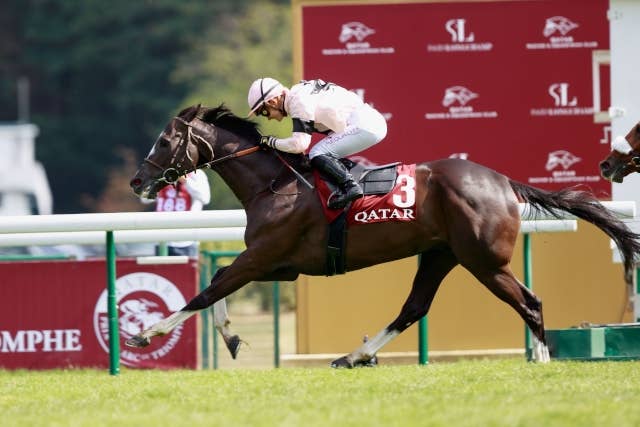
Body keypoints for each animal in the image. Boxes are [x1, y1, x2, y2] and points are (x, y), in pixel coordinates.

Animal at [127, 104, 640, 367]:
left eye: (165, 141)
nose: (136, 181)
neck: (274, 183)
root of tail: (503, 182)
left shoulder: (263, 257)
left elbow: (207, 290)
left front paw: (147, 332)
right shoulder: (280, 265)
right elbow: (216, 288)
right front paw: (231, 337)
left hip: (484, 261)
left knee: (529, 302)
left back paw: (543, 361)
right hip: (440, 255)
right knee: (413, 308)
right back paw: (354, 355)